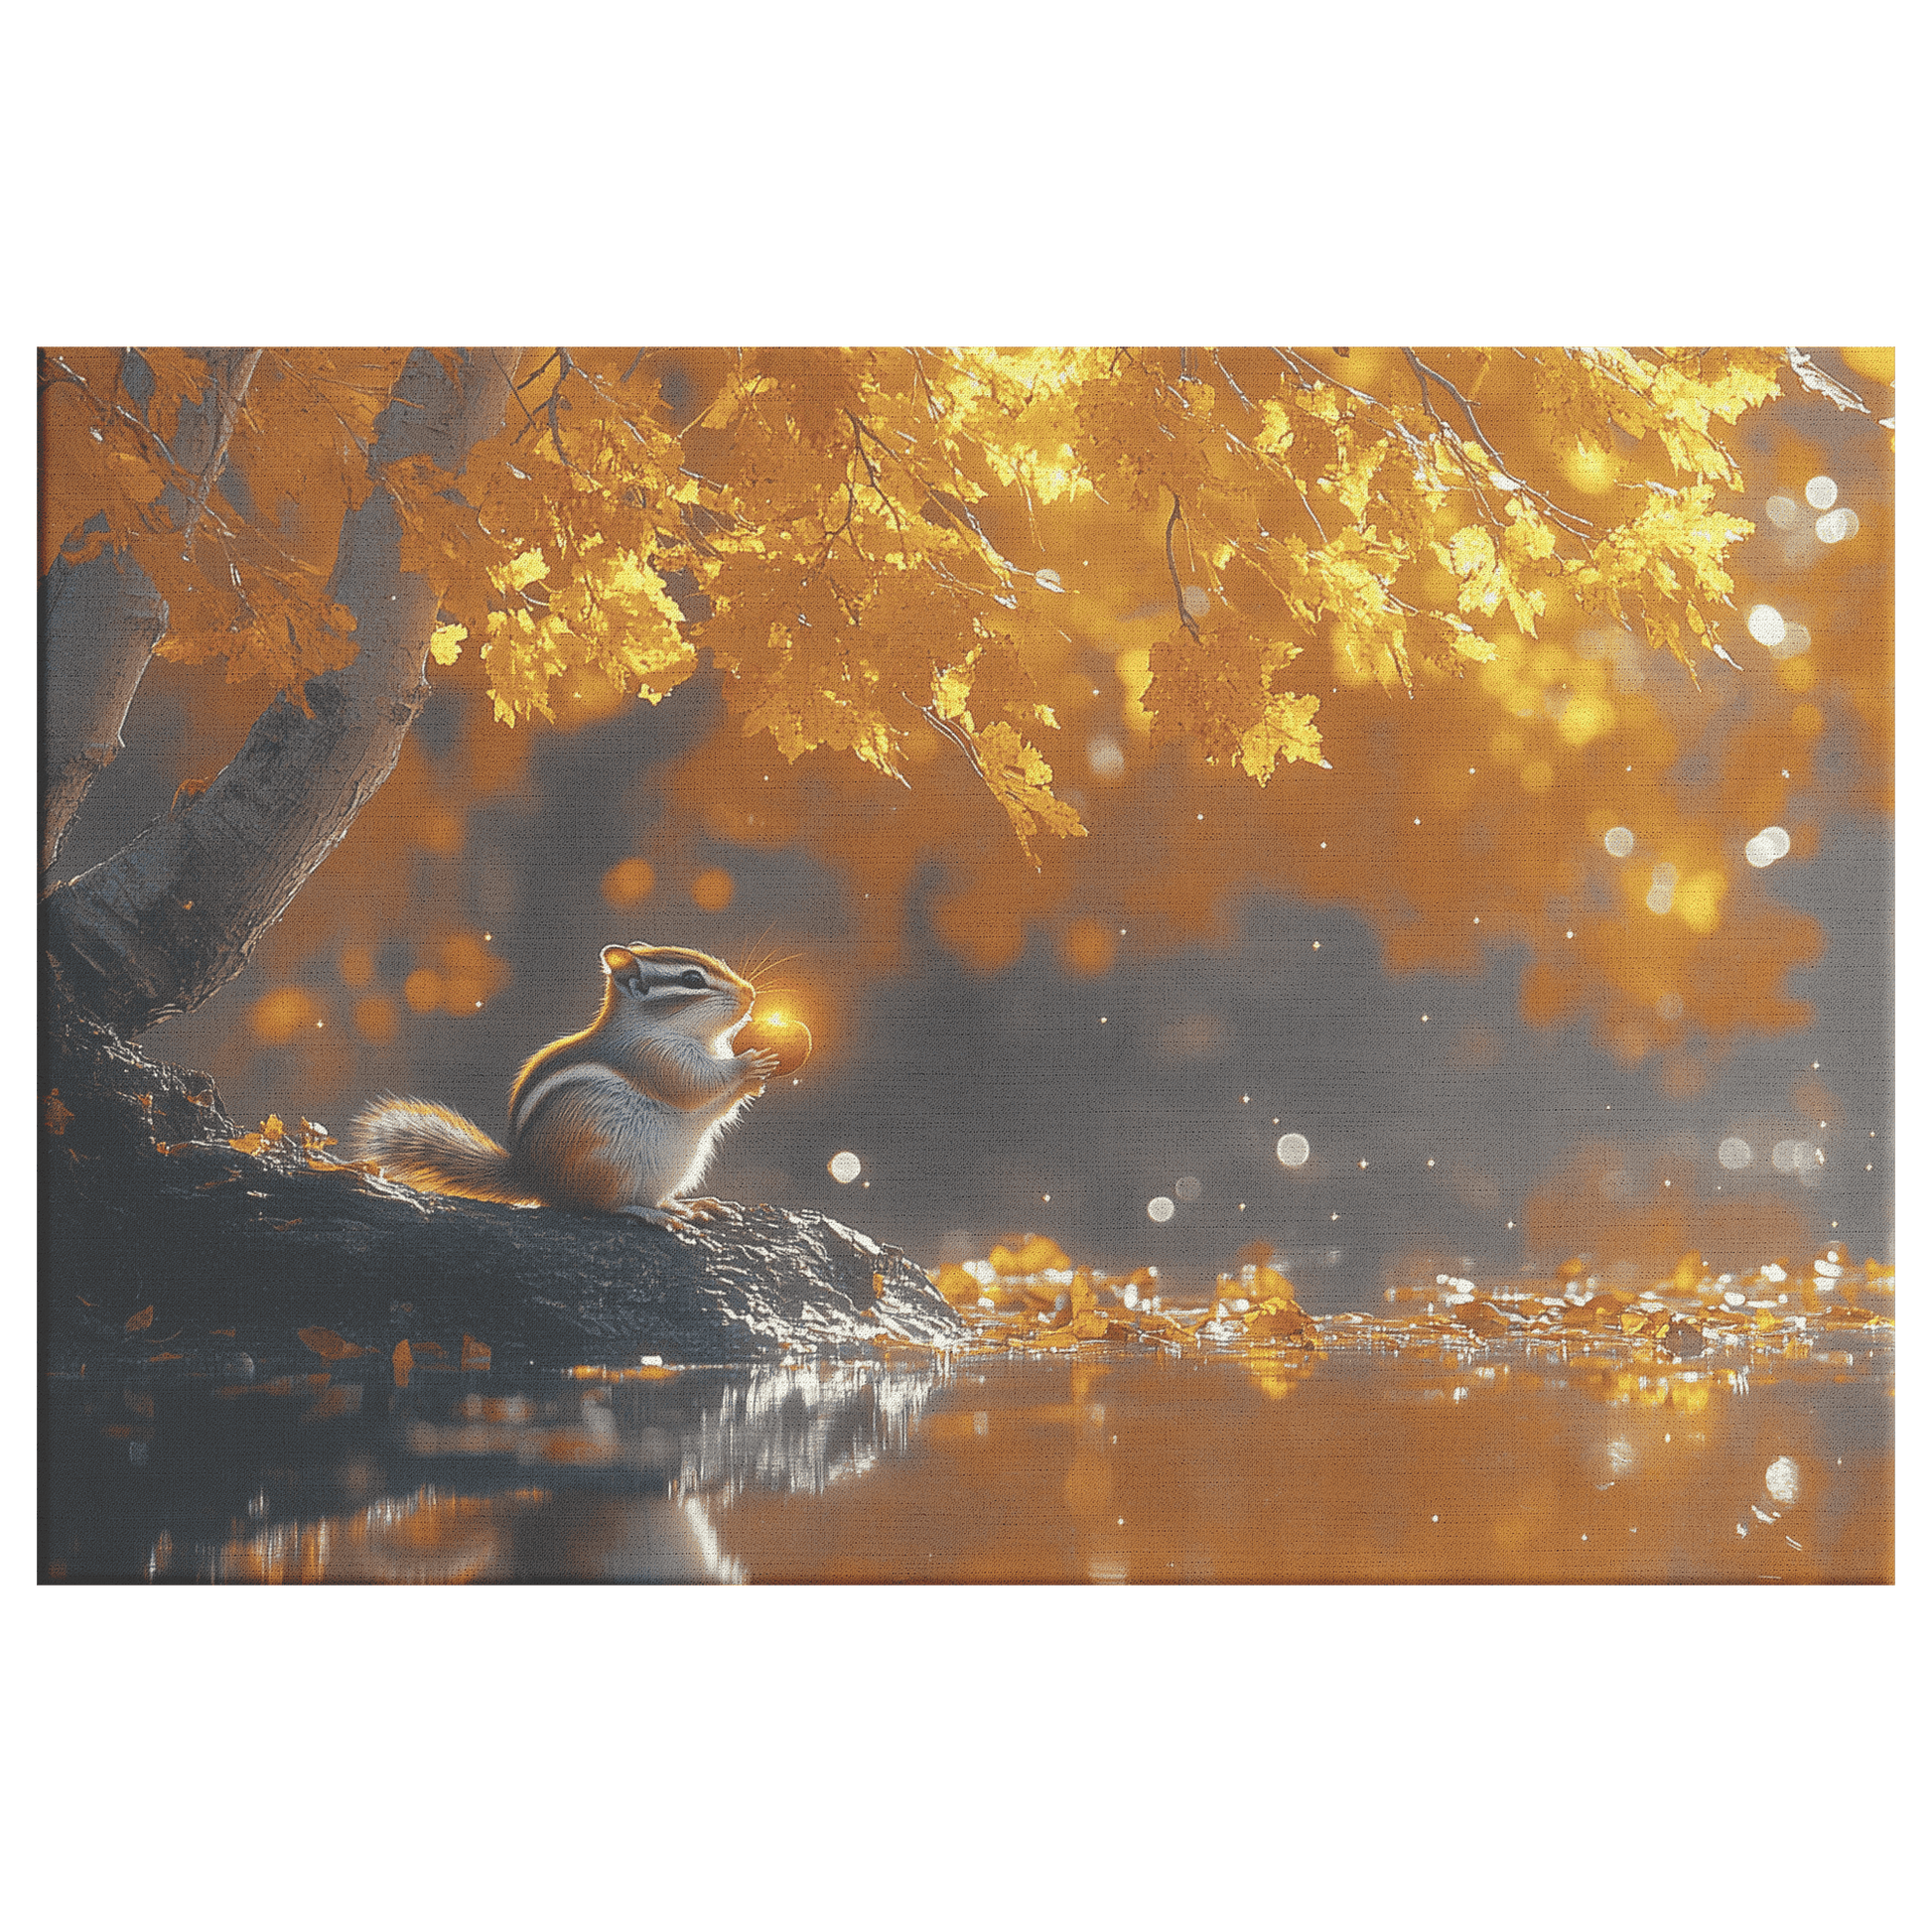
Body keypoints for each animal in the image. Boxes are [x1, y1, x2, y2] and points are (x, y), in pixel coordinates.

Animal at [348, 943, 781, 1233]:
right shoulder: (654, 1057)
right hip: (609, 1165)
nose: (750, 994)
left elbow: (713, 1105)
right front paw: (749, 1064)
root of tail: (532, 1179)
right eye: (692, 979)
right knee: (599, 1205)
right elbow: (695, 1085)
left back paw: (685, 1204)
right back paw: (652, 1213)